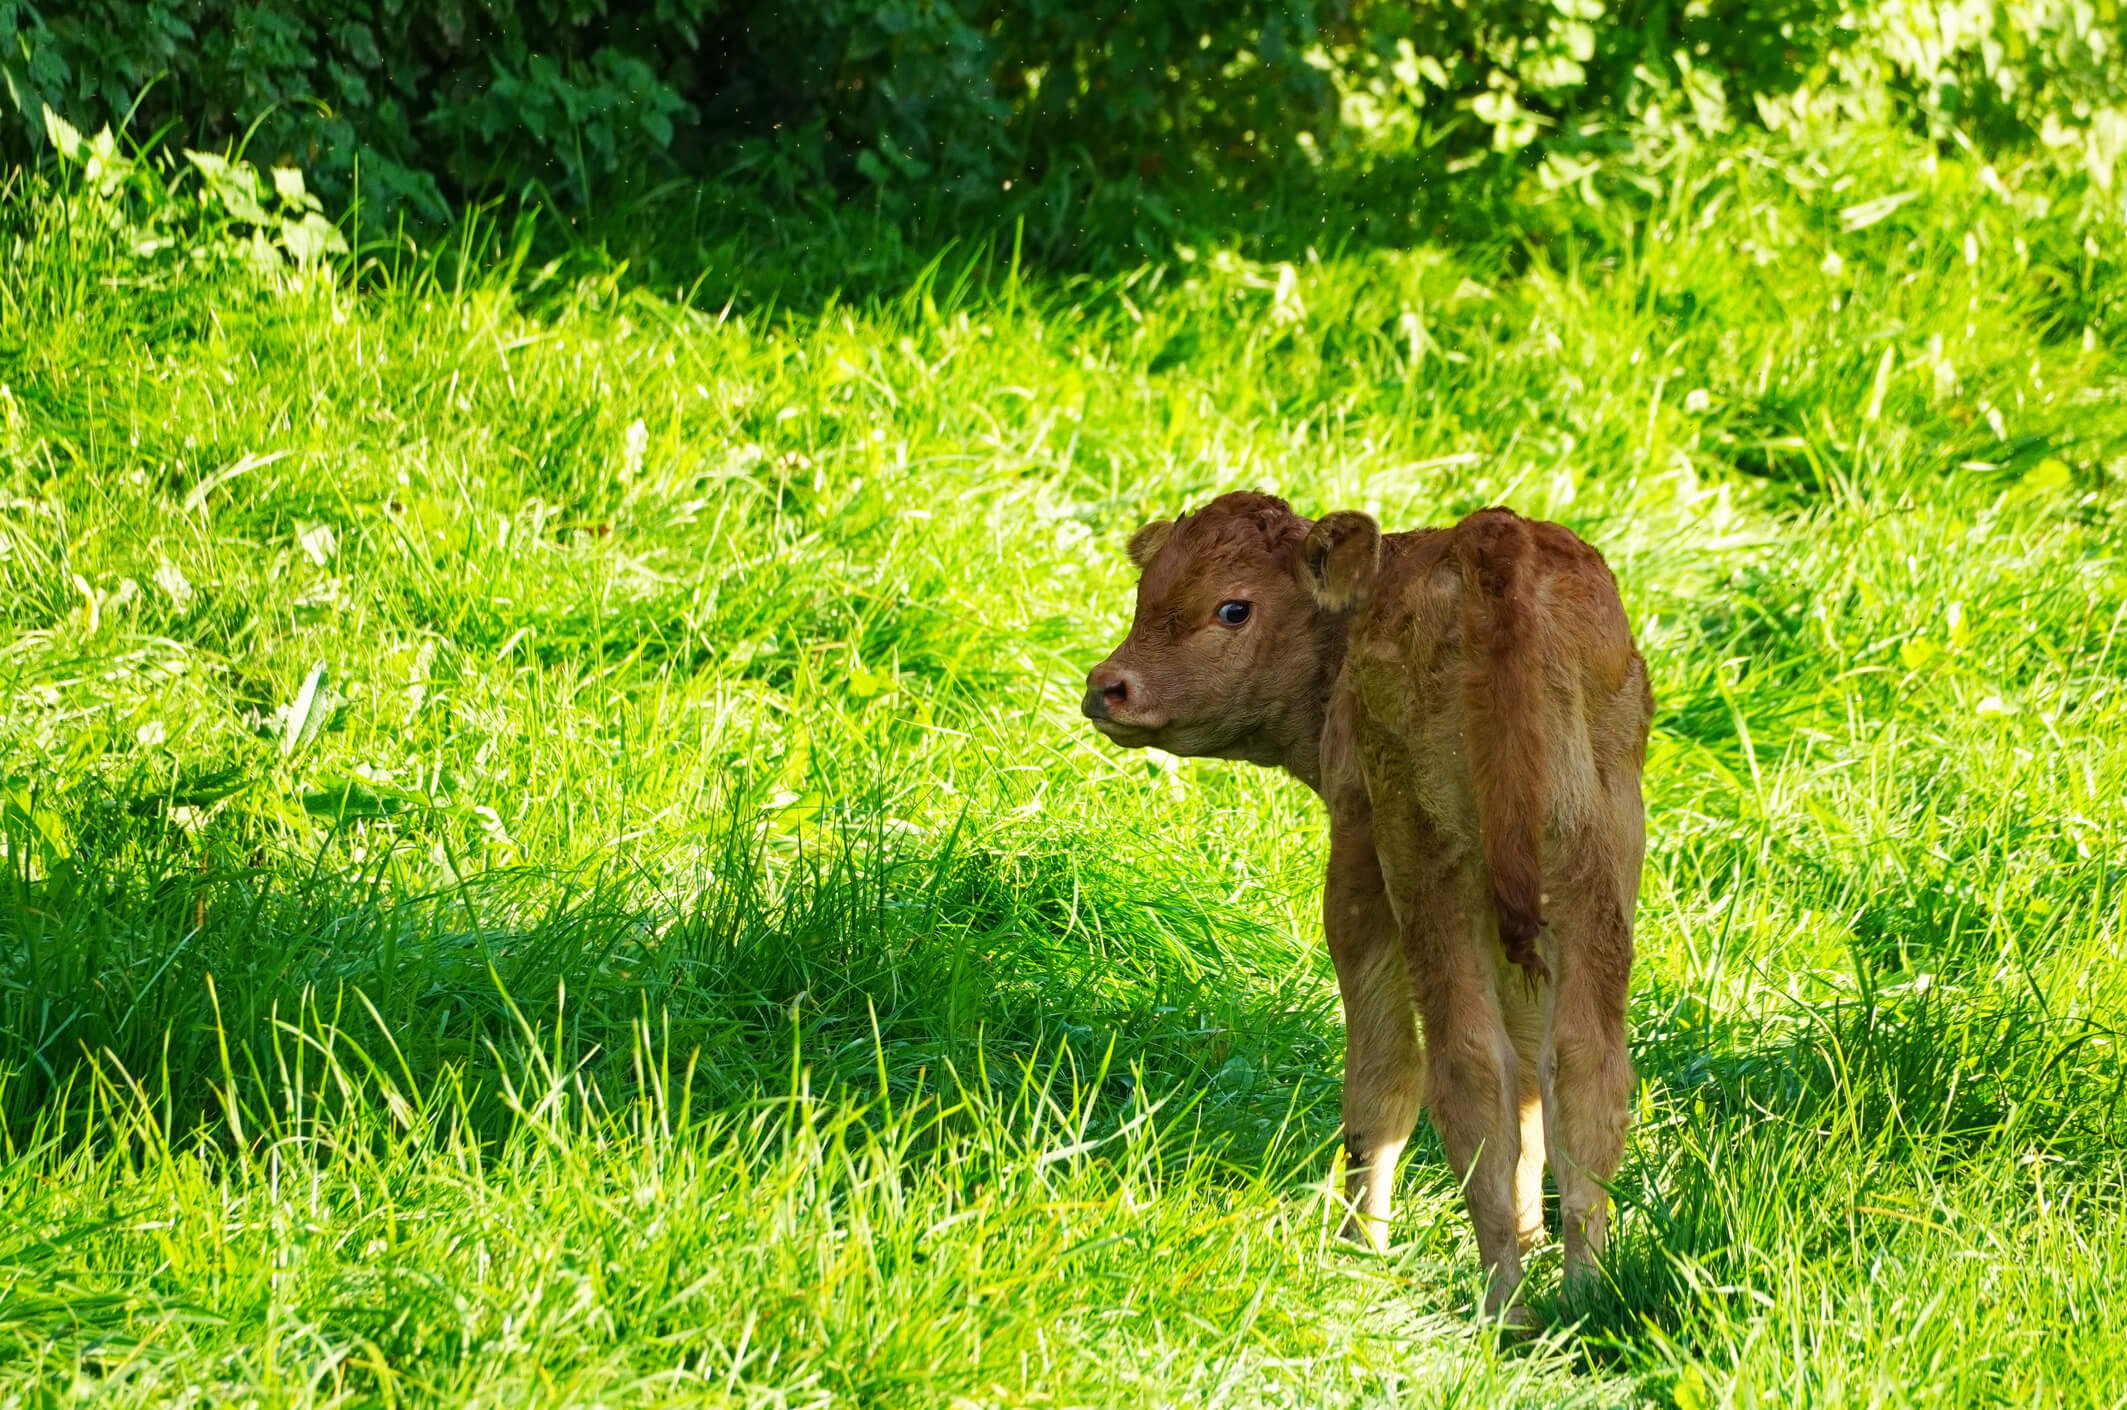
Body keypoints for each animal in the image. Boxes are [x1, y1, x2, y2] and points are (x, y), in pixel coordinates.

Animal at [1081, 491, 1652, 1320]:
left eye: (1232, 608)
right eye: (1145, 595)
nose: (1108, 686)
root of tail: (1494, 536)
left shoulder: (1357, 859)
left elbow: (1382, 1071)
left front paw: (1359, 1246)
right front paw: (1530, 1229)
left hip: (1426, 862)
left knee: (1463, 1068)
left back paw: (1501, 1305)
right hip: (1589, 869)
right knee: (1582, 1065)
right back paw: (1582, 1295)